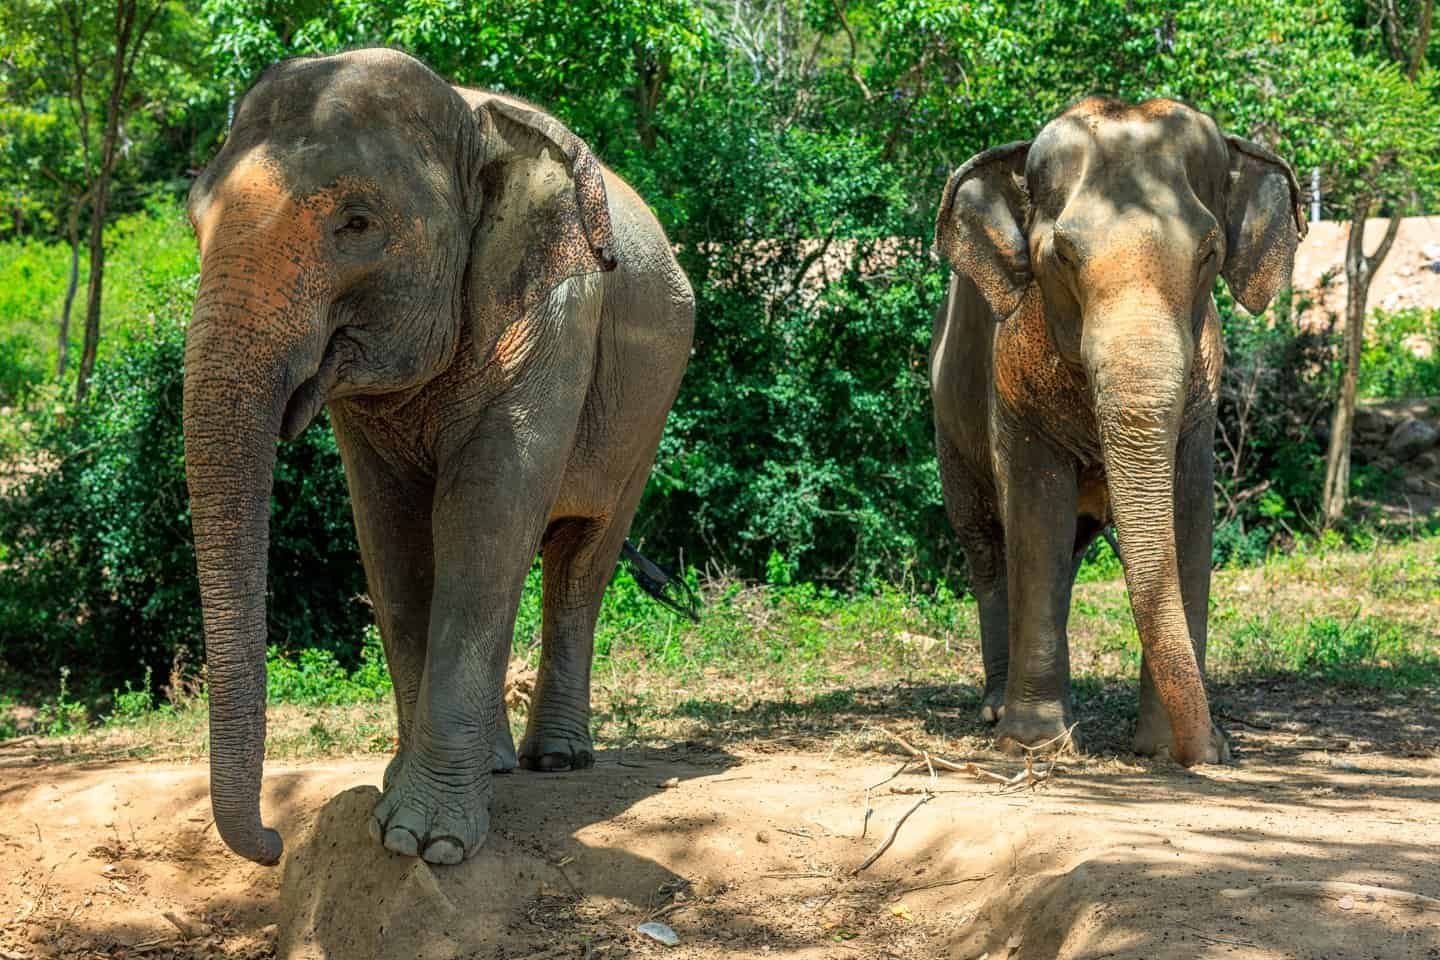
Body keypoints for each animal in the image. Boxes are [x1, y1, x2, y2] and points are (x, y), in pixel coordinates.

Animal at [183, 49, 694, 865]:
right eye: (193, 220)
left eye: (357, 223)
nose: (273, 841)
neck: (472, 127)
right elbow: (390, 533)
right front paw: (399, 796)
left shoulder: (557, 314)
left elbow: (484, 512)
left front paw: (424, 842)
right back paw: (500, 763)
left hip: (652, 402)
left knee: (581, 558)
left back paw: (558, 760)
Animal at [929, 97, 1304, 766]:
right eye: (1062, 257)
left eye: (1209, 255)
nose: (1211, 750)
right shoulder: (1013, 382)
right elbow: (1035, 513)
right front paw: (1034, 746)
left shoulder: (1201, 398)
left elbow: (1189, 517)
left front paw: (1171, 749)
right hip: (949, 421)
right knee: (989, 546)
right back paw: (996, 712)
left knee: (1068, 552)